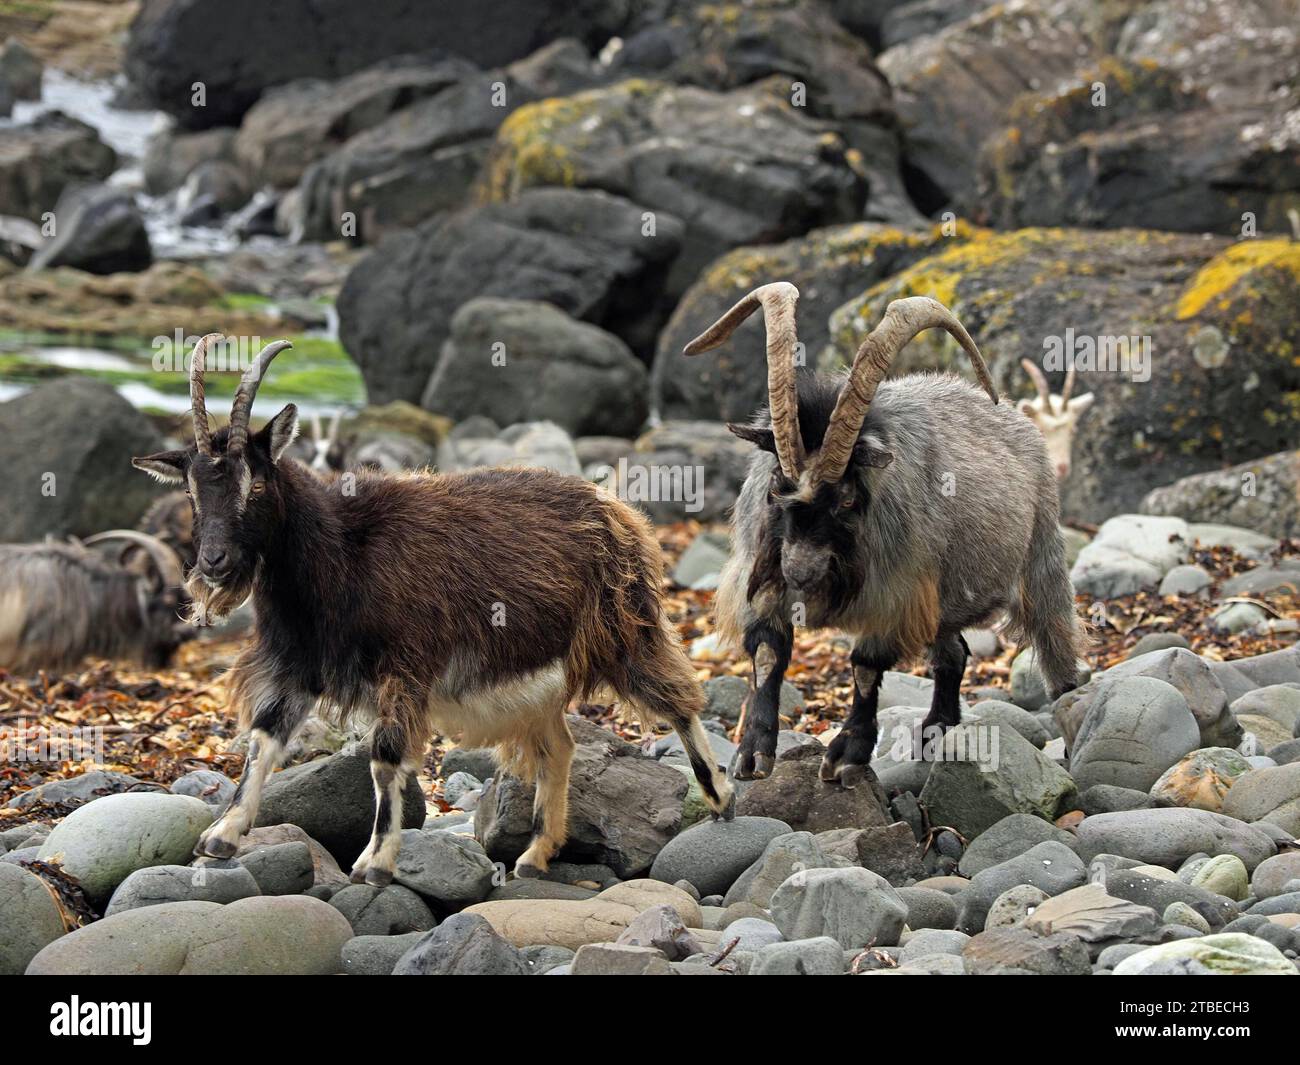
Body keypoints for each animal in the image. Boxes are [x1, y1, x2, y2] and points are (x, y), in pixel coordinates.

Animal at [131, 334, 734, 882]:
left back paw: (720, 797)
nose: (214, 562)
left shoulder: (406, 666)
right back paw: (536, 853)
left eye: (254, 484)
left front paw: (376, 862)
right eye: (191, 492)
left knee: (679, 699)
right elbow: (263, 741)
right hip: (541, 677)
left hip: (623, 630)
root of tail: (616, 508)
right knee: (559, 748)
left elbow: (384, 758)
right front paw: (222, 836)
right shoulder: (298, 666)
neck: (341, 551)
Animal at [683, 284, 1085, 780]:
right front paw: (753, 753)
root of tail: (1010, 413)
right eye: (777, 484)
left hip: (1041, 558)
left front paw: (846, 752)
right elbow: (768, 653)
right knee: (953, 654)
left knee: (1056, 642)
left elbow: (865, 667)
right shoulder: (763, 579)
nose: (801, 572)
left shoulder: (895, 592)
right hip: (942, 595)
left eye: (846, 499)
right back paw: (935, 730)